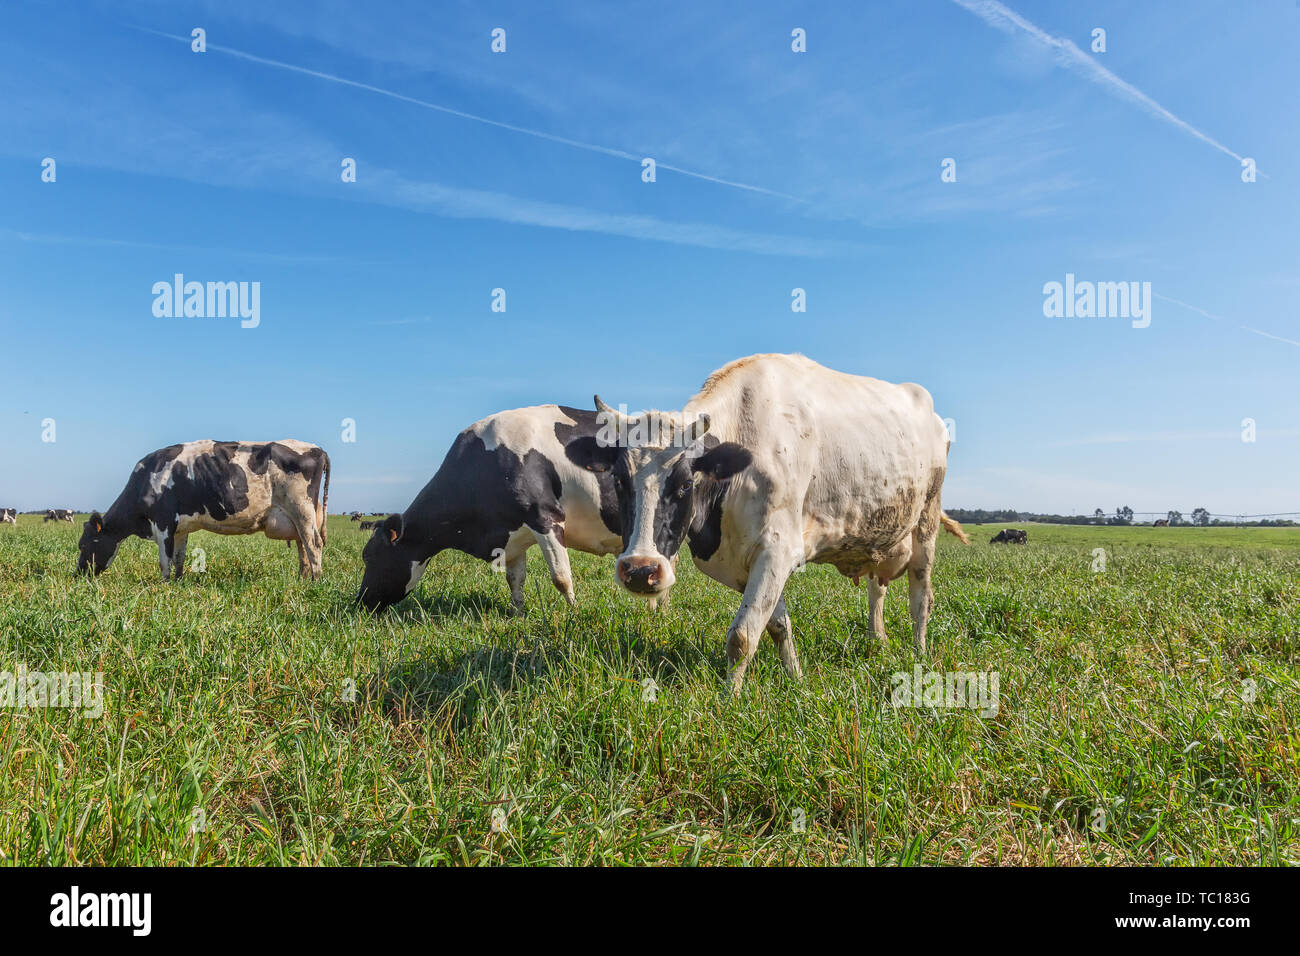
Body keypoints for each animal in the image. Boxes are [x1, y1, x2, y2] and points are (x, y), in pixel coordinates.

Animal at [77, 440, 330, 579]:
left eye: (83, 545)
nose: (78, 574)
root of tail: (316, 449)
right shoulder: (180, 527)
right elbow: (179, 558)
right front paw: (177, 582)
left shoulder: (163, 523)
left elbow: (165, 561)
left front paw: (163, 585)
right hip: (298, 517)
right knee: (303, 547)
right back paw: (301, 579)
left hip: (302, 509)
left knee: (313, 545)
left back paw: (315, 581)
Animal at [356, 405, 623, 613]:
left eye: (369, 556)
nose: (360, 602)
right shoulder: (512, 537)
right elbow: (515, 580)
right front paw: (518, 615)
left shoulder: (546, 516)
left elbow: (561, 577)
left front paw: (574, 612)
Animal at [562, 353, 969, 693]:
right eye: (618, 480)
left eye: (685, 484)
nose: (641, 570)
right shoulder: (753, 558)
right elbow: (776, 625)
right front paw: (796, 678)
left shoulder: (778, 548)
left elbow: (742, 636)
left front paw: (729, 701)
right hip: (878, 533)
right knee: (876, 588)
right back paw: (876, 638)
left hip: (926, 521)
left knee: (921, 596)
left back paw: (918, 652)